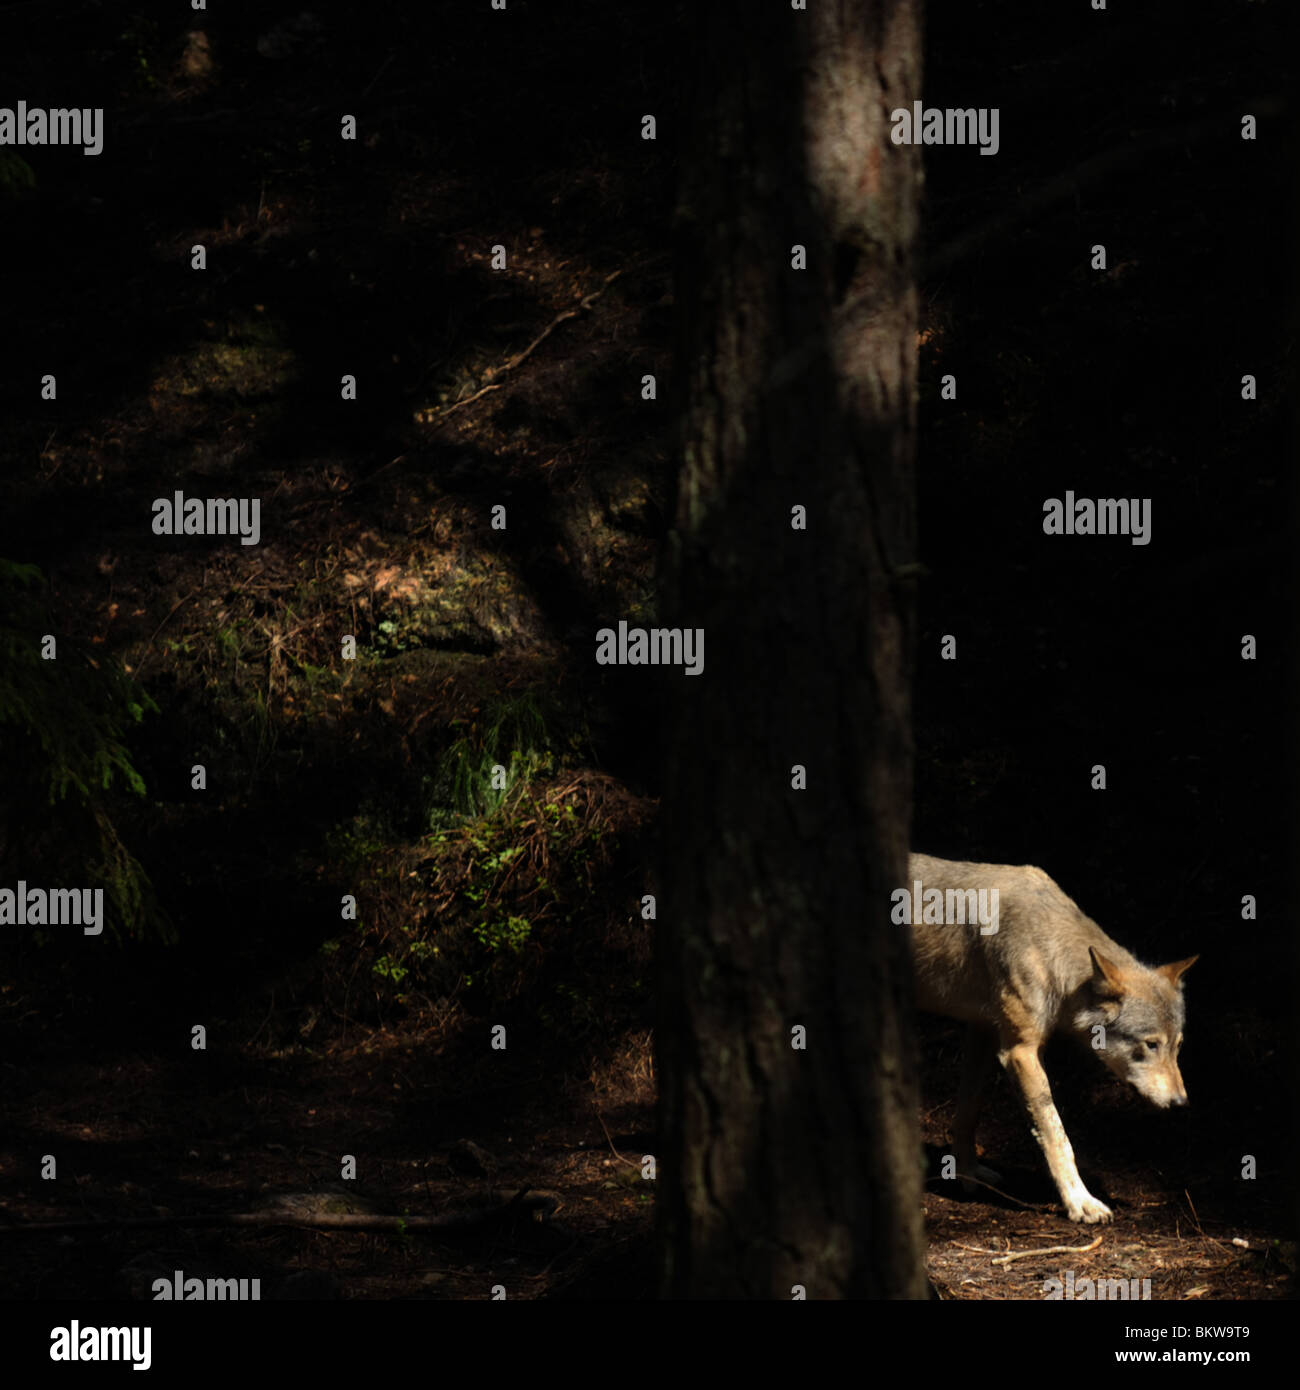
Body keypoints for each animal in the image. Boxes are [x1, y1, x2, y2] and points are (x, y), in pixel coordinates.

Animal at [904, 853, 1196, 1224]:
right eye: (1151, 1044)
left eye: (1177, 1046)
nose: (1181, 1103)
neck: (1048, 946)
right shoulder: (1020, 1052)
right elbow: (1056, 1133)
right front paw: (1080, 1202)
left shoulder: (983, 1031)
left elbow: (968, 1111)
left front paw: (966, 1175)